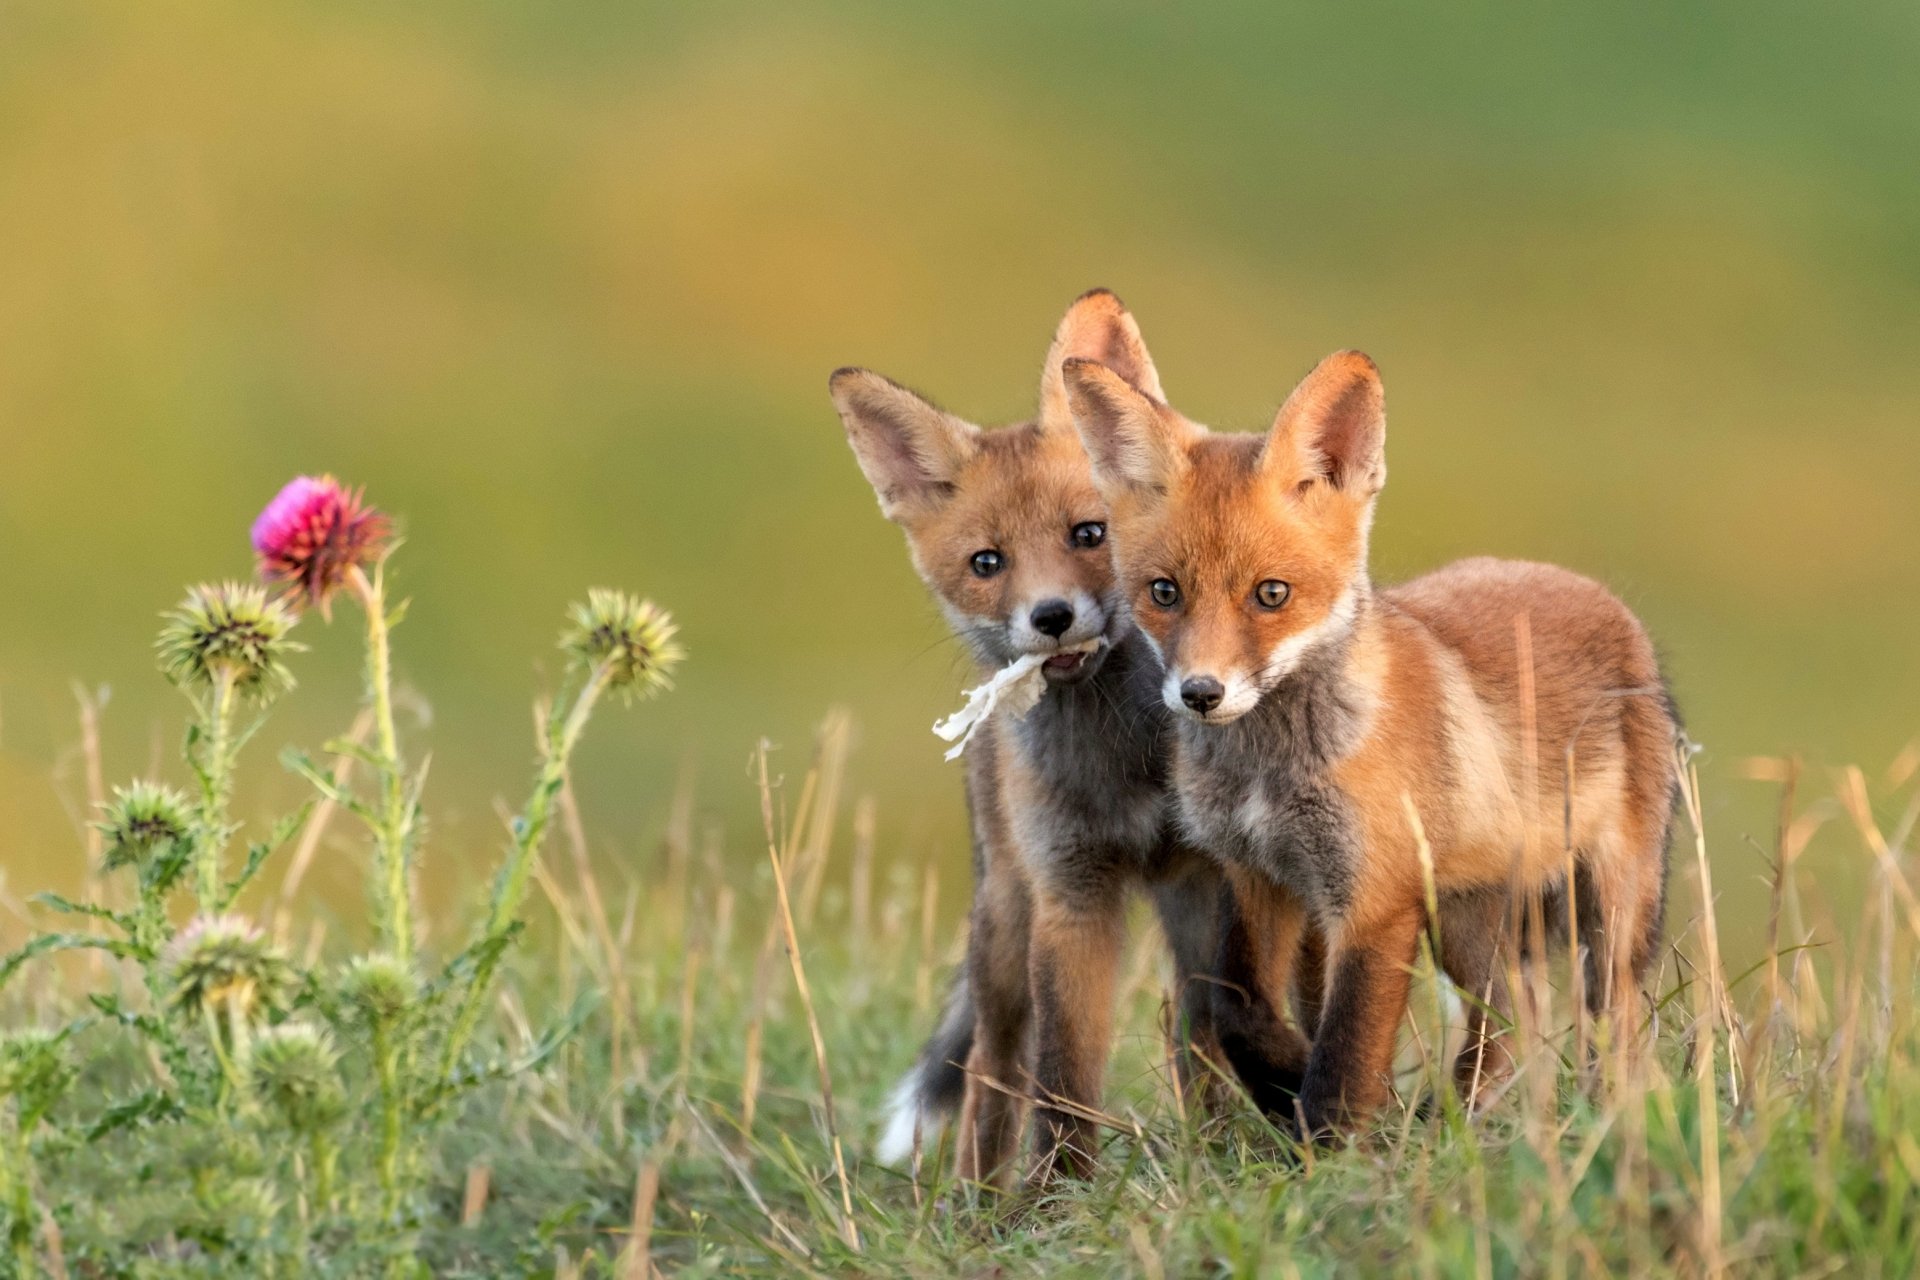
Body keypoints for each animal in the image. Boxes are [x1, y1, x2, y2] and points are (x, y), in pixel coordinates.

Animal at [830, 291, 1285, 1186]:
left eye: (1089, 534)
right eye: (987, 562)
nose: (1050, 617)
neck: (1126, 763)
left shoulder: (1213, 877)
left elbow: (1213, 1031)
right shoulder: (1070, 892)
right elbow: (1064, 1073)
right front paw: (1059, 1194)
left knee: (1188, 1039)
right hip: (1007, 920)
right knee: (994, 1066)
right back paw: (978, 1199)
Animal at [1062, 348, 1680, 1136]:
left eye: (1271, 594)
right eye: (1163, 592)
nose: (1200, 693)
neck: (1271, 773)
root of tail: (1602, 597)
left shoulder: (1375, 899)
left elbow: (1347, 1050)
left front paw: (1331, 1141)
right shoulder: (1260, 875)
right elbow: (1239, 1009)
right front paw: (1283, 1083)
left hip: (1611, 909)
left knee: (1611, 1026)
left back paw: (1603, 1123)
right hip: (1463, 919)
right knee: (1514, 1017)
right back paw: (1457, 1124)